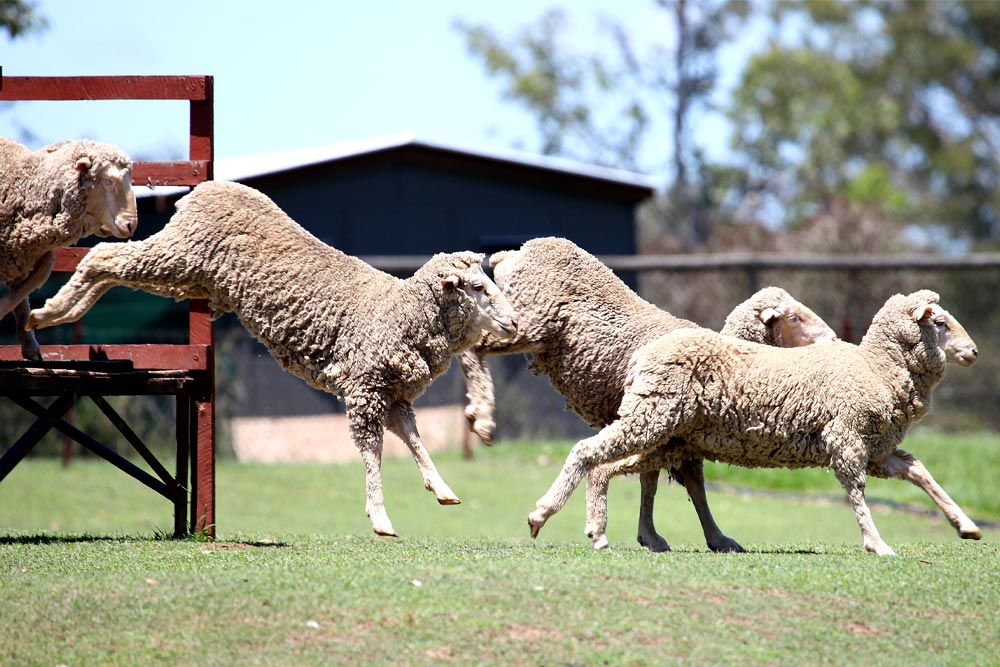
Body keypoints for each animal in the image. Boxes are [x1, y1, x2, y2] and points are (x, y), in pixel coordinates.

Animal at [28, 180, 519, 538]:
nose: (514, 323)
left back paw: (59, 312)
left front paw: (442, 489)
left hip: (191, 276)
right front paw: (380, 518)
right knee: (104, 254)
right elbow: (372, 454)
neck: (401, 312)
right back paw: (48, 312)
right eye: (477, 287)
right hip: (179, 256)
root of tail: (204, 189)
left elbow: (416, 443)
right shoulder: (364, 389)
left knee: (110, 264)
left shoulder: (392, 395)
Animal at [458, 237, 836, 552]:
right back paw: (483, 416)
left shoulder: (676, 440)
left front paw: (673, 536)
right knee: (472, 348)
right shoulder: (666, 432)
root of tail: (516, 252)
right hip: (527, 322)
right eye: (794, 317)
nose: (833, 339)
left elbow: (671, 485)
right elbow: (672, 483)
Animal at [527, 290, 981, 555]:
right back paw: (546, 514)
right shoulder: (846, 438)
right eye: (940, 323)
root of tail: (643, 357)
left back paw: (603, 528)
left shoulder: (877, 450)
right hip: (652, 419)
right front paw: (876, 543)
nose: (974, 352)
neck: (876, 368)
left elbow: (919, 472)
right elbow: (856, 493)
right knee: (587, 452)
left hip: (667, 435)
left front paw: (966, 525)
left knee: (607, 465)